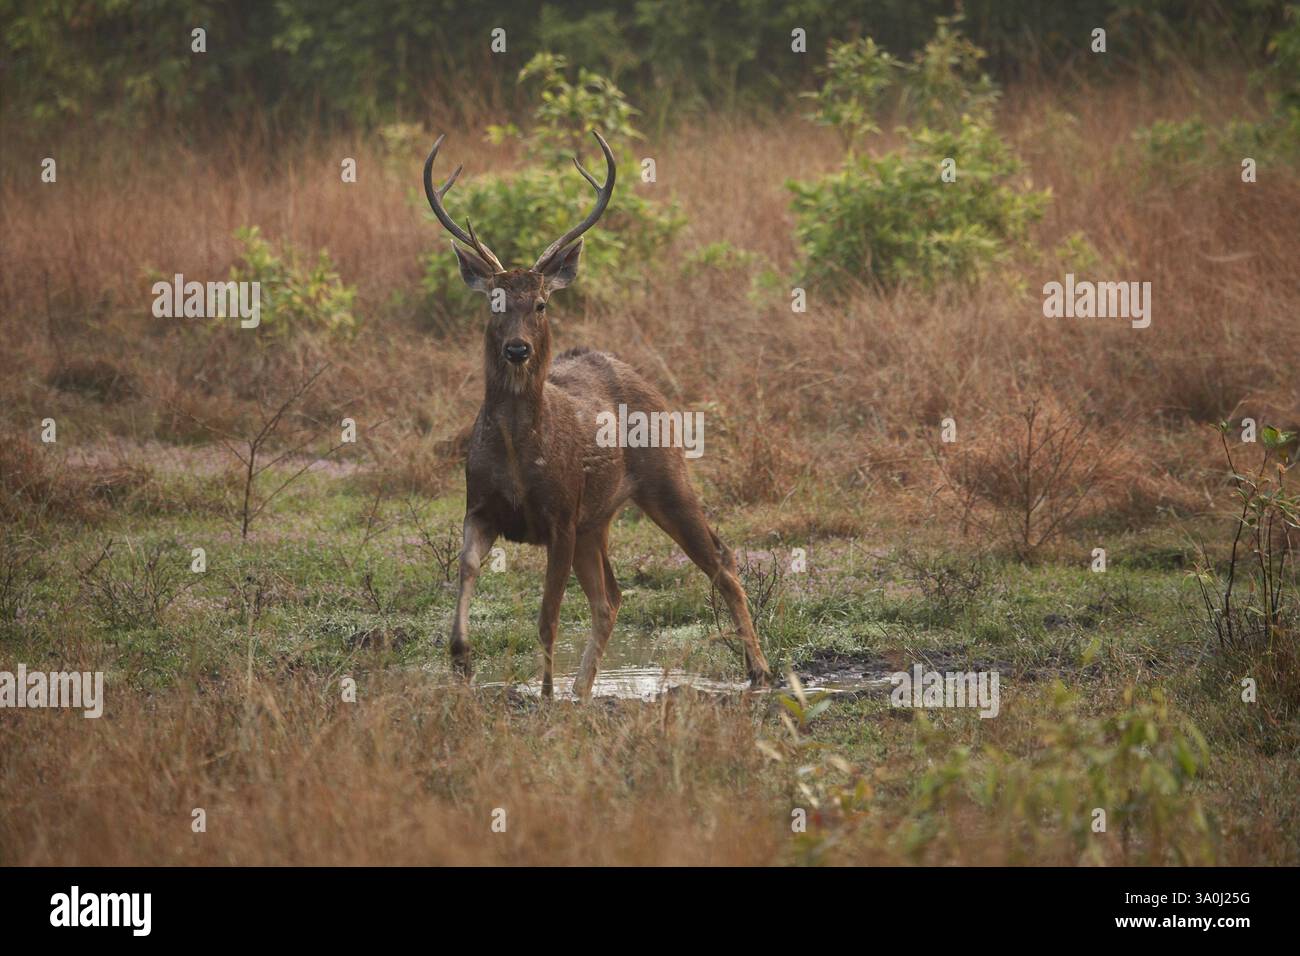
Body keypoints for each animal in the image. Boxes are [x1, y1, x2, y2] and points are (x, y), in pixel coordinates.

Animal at [424, 130, 772, 700]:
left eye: (541, 303)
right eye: (494, 302)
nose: (517, 350)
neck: (519, 454)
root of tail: (645, 379)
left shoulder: (561, 514)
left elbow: (547, 616)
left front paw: (544, 692)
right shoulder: (480, 505)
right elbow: (467, 571)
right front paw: (463, 663)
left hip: (665, 476)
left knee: (720, 557)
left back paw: (758, 669)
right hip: (598, 518)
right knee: (611, 596)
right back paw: (583, 689)